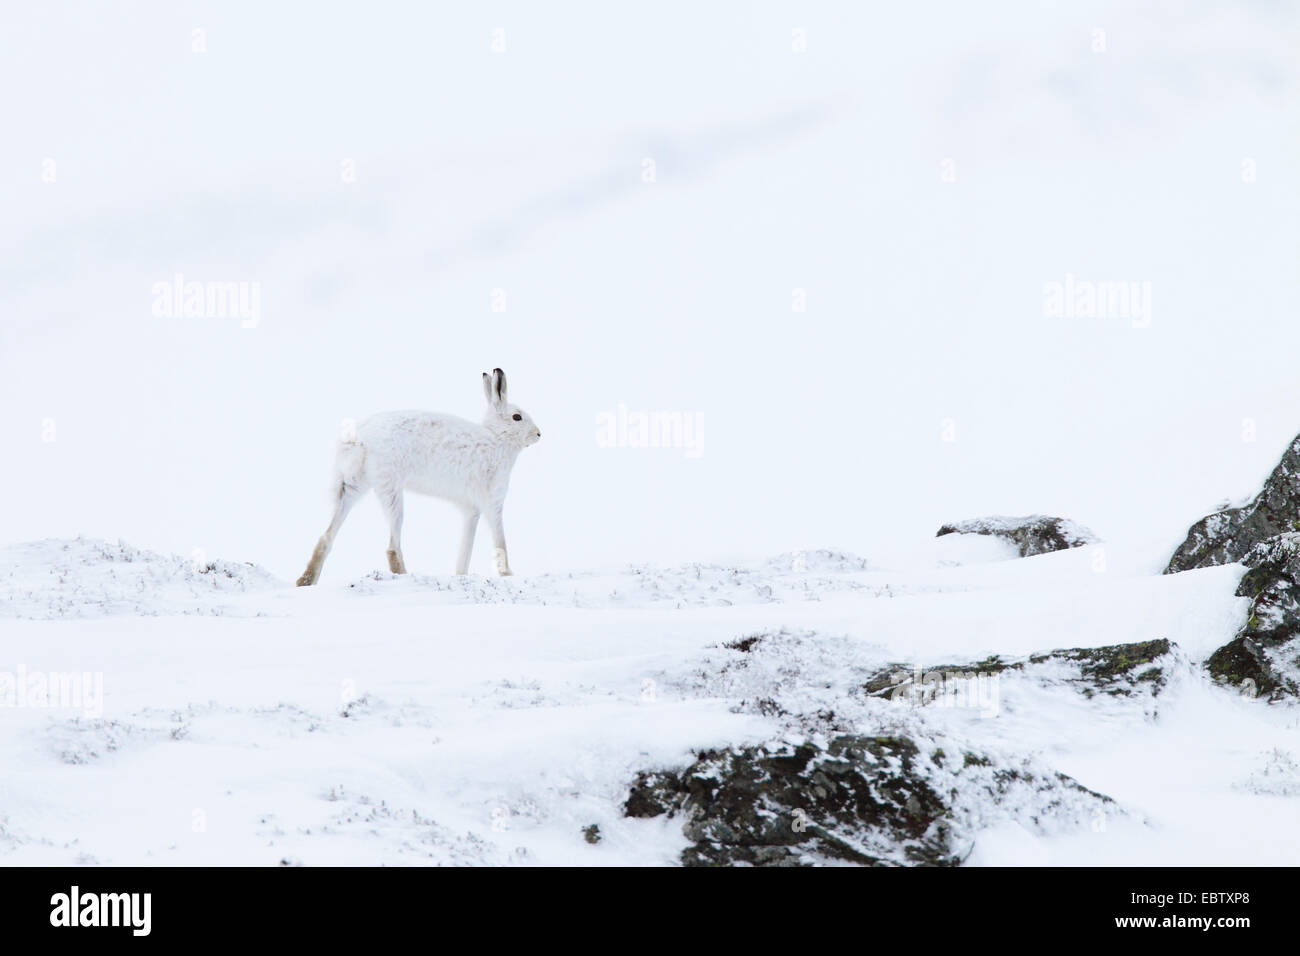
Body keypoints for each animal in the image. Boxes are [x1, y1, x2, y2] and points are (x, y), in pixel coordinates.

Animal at [296, 368, 540, 586]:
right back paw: (405, 576)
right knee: (392, 548)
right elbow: (500, 542)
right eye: (517, 417)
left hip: (352, 485)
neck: (498, 439)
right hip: (391, 488)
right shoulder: (492, 501)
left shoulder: (471, 510)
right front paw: (508, 575)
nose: (538, 434)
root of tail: (359, 438)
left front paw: (460, 574)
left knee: (326, 537)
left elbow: (466, 548)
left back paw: (305, 581)